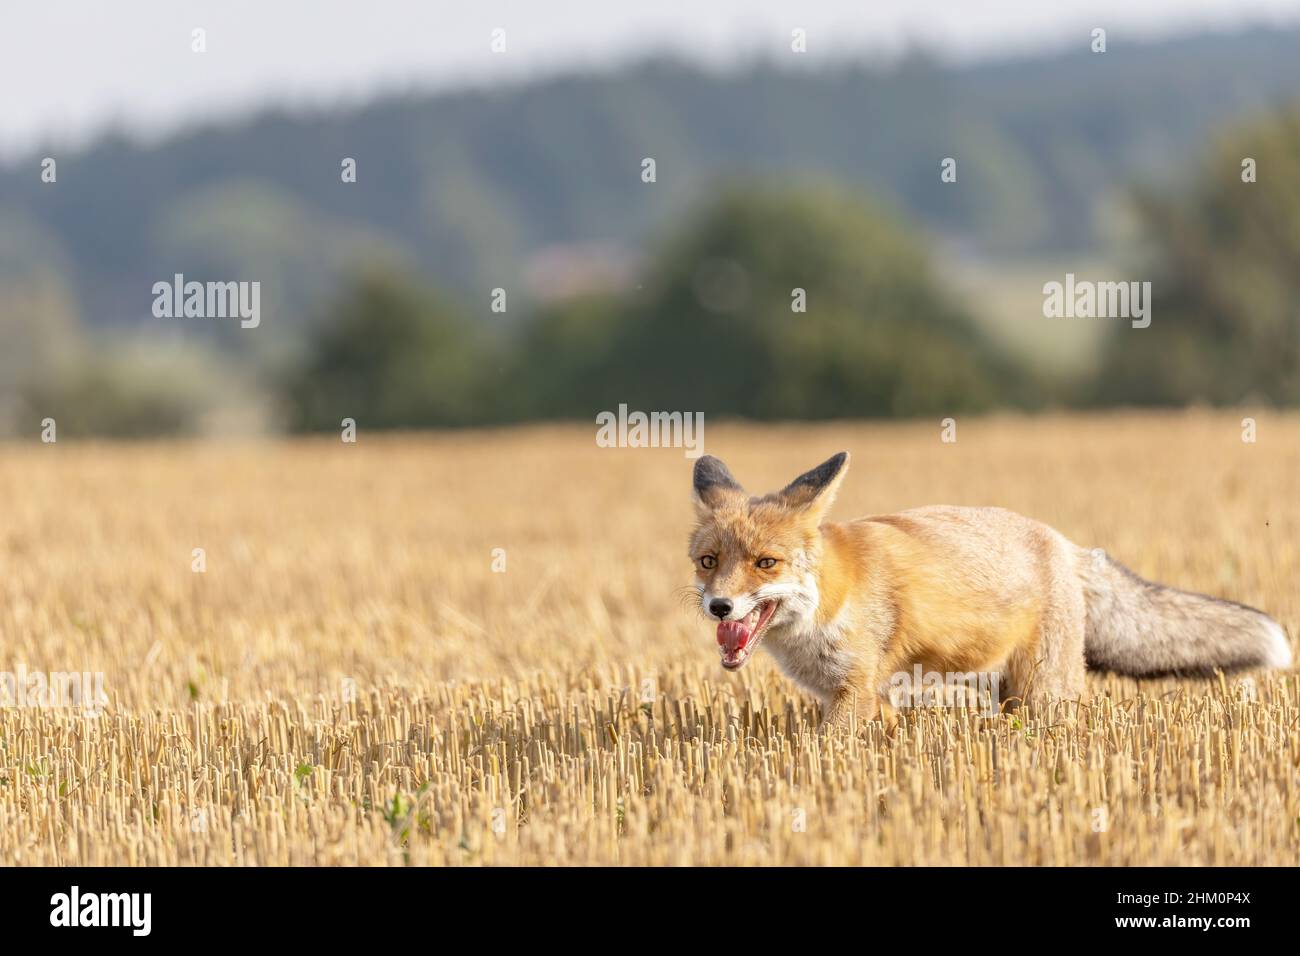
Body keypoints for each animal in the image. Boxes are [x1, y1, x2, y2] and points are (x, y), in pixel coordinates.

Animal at [689, 451, 1292, 727]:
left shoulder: (854, 690)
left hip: (1043, 692)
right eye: (709, 561)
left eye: (766, 563)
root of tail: (1066, 544)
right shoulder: (870, 694)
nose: (720, 606)